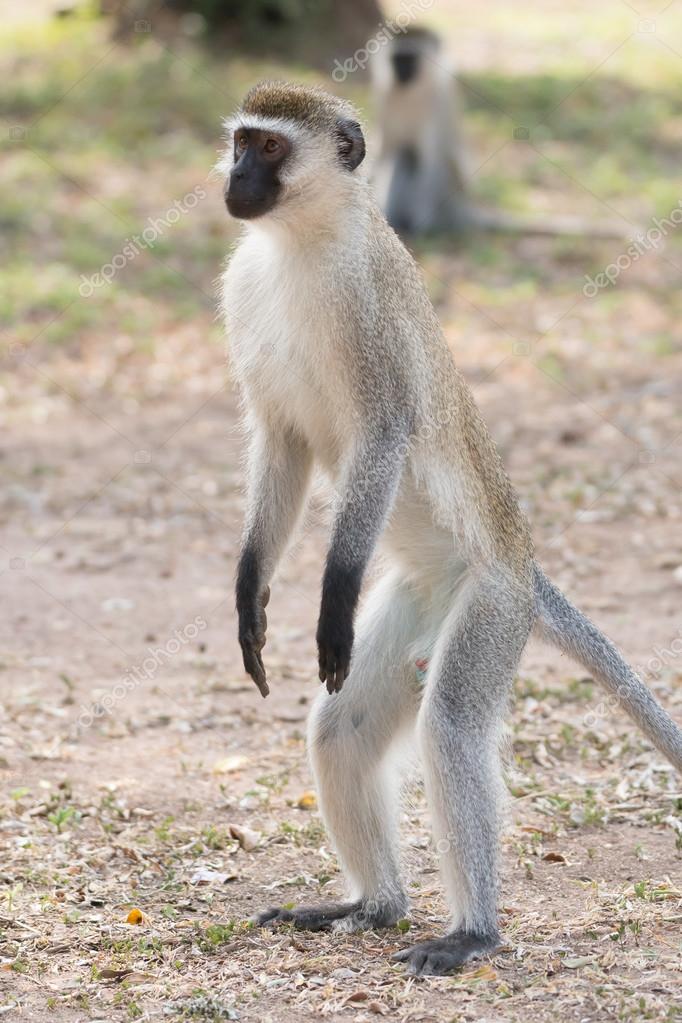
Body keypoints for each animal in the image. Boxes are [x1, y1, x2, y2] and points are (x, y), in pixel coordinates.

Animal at [218, 82, 682, 977]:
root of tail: (522, 563)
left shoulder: (368, 310)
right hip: (415, 599)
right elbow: (283, 441)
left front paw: (329, 595)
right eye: (241, 142)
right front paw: (250, 595)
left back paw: (473, 931)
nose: (232, 181)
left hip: (491, 605)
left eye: (270, 149)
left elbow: (384, 432)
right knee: (343, 728)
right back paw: (373, 904)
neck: (301, 241)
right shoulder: (245, 290)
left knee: (451, 729)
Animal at [370, 27, 630, 239]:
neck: (411, 91)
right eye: (397, 59)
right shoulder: (384, 96)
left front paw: (418, 226)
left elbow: (432, 159)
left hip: (449, 205)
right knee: (401, 153)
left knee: (427, 161)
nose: (402, 72)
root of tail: (466, 211)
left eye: (411, 59)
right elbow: (384, 152)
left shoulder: (439, 101)